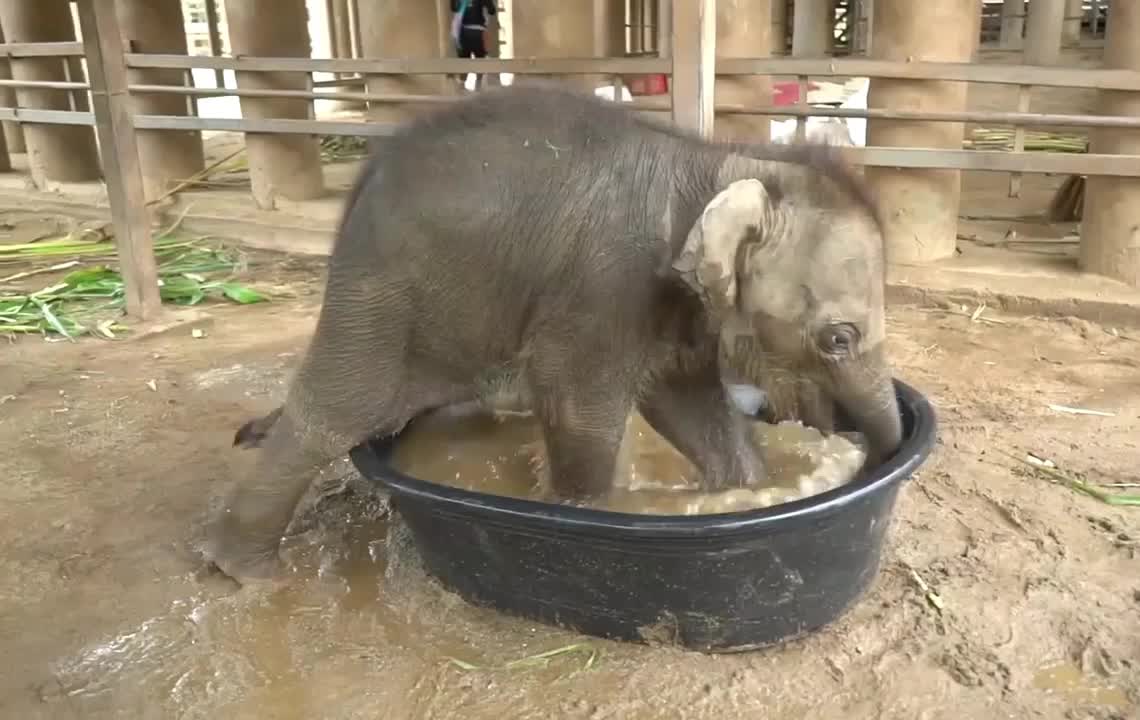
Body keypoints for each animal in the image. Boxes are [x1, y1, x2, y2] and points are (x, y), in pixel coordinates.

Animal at [207, 83, 902, 584]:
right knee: (334, 413)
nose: (865, 457)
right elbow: (580, 409)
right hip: (380, 294)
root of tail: (360, 184)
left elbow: (687, 407)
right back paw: (246, 573)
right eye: (838, 338)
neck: (719, 163)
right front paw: (586, 512)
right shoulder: (605, 286)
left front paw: (750, 489)